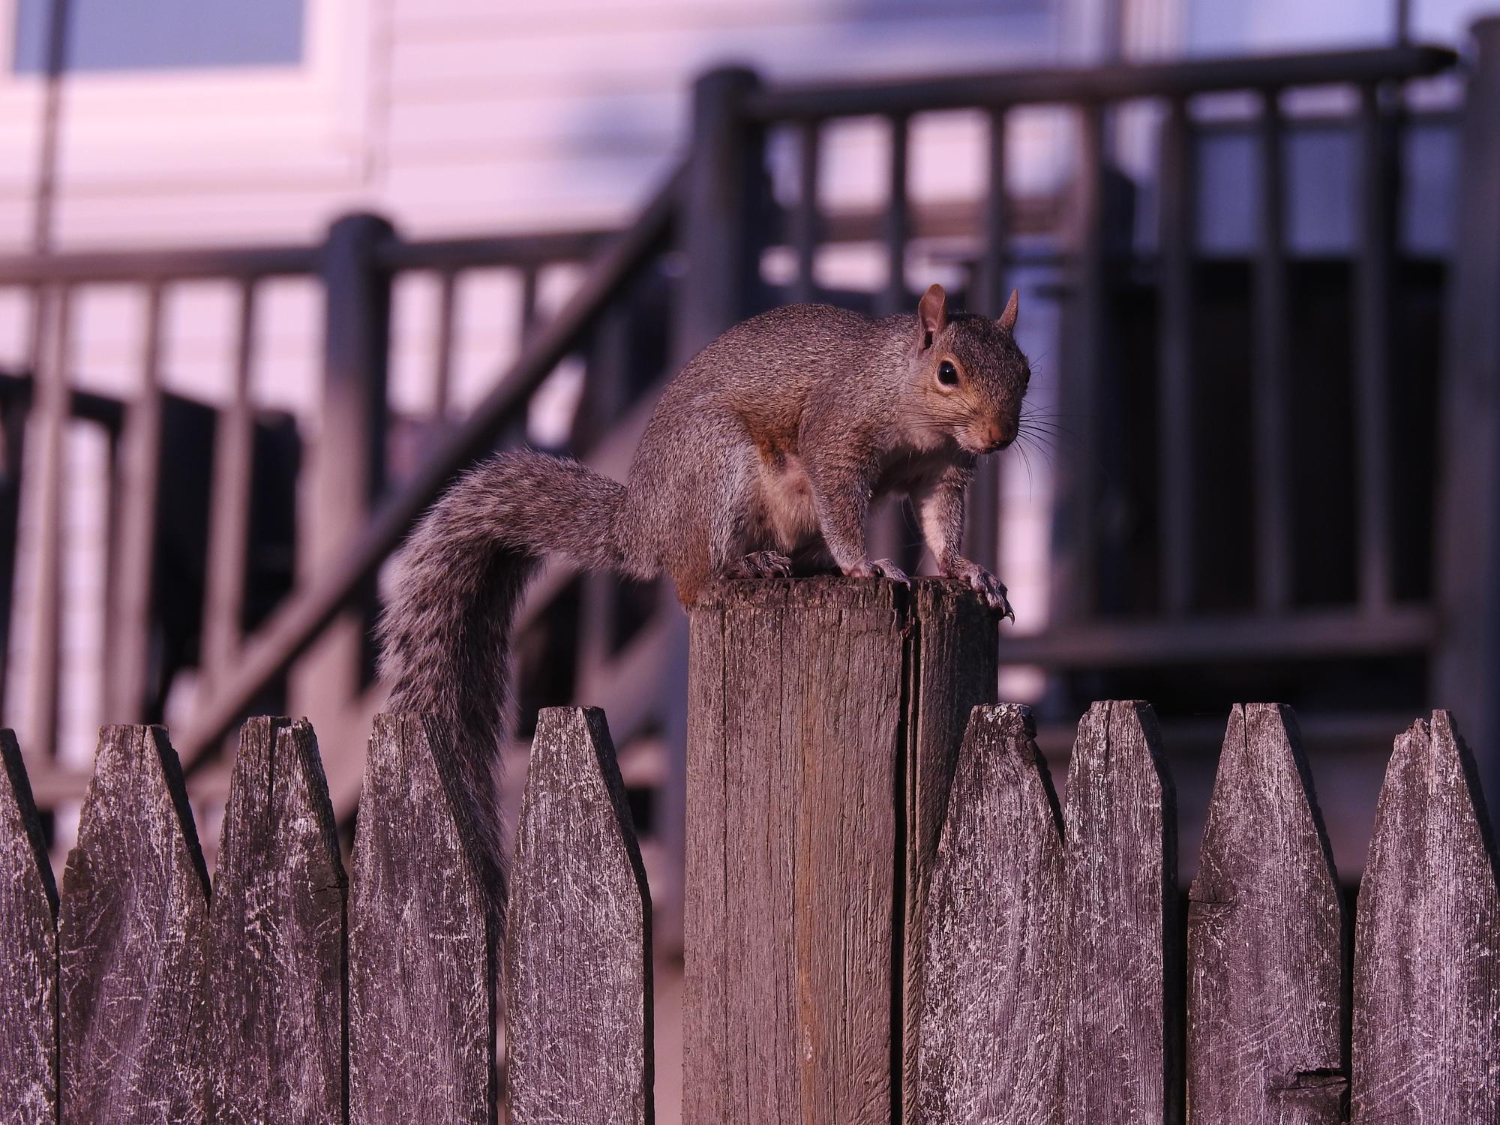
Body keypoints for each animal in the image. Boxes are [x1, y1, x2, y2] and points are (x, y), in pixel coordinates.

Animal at [377, 283, 1031, 896]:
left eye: (1025, 371)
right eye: (947, 371)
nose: (1000, 436)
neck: (911, 406)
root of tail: (645, 522)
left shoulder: (942, 470)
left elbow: (942, 523)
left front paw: (968, 571)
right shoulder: (838, 432)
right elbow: (841, 501)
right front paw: (864, 565)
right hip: (717, 466)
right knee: (692, 583)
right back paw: (746, 566)